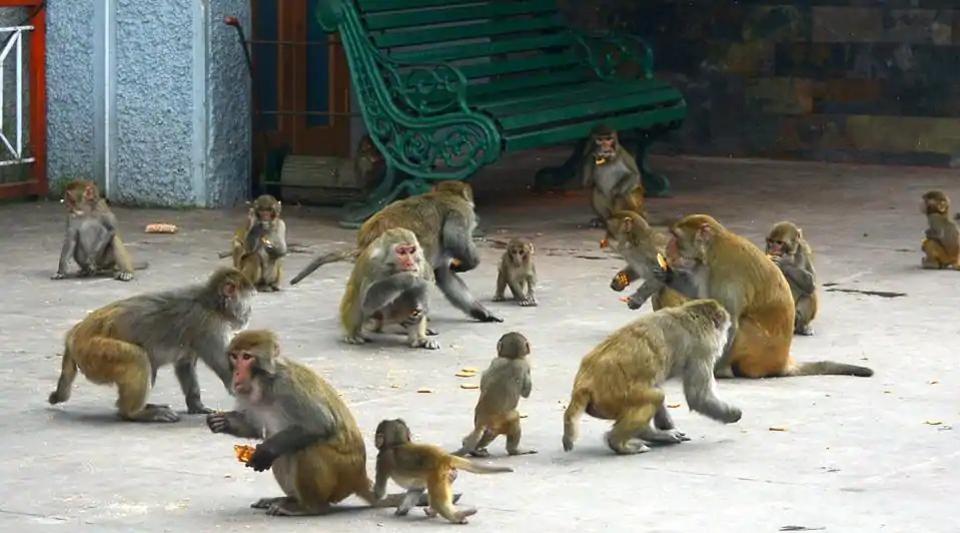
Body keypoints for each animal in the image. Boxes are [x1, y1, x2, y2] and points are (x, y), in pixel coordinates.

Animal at [48, 267, 254, 422]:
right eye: (248, 301)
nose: (248, 314)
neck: (212, 304)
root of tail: (75, 333)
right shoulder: (209, 326)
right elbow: (229, 374)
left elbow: (185, 364)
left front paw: (197, 405)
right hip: (94, 351)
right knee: (137, 357)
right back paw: (134, 413)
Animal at [290, 180, 502, 323]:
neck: (446, 194)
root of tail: (365, 242)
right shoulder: (462, 212)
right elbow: (454, 237)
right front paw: (469, 263)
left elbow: (444, 275)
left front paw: (481, 312)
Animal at [373, 418, 512, 524]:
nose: (376, 442)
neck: (397, 443)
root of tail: (444, 457)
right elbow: (417, 489)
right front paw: (401, 510)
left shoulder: (382, 460)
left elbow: (380, 492)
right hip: (449, 475)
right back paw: (434, 511)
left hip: (437, 475)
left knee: (438, 501)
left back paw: (455, 516)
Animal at [562, 299, 741, 455]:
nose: (727, 337)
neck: (693, 314)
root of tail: (583, 385)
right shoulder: (704, 348)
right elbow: (698, 397)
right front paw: (733, 414)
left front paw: (666, 427)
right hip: (612, 397)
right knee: (655, 396)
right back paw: (619, 443)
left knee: (655, 391)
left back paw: (647, 434)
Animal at [656, 214, 873, 379]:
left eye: (675, 237)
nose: (667, 247)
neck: (713, 249)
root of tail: (783, 361)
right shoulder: (704, 269)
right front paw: (663, 273)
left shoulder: (729, 277)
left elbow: (729, 323)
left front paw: (713, 371)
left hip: (761, 355)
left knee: (742, 325)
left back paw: (727, 371)